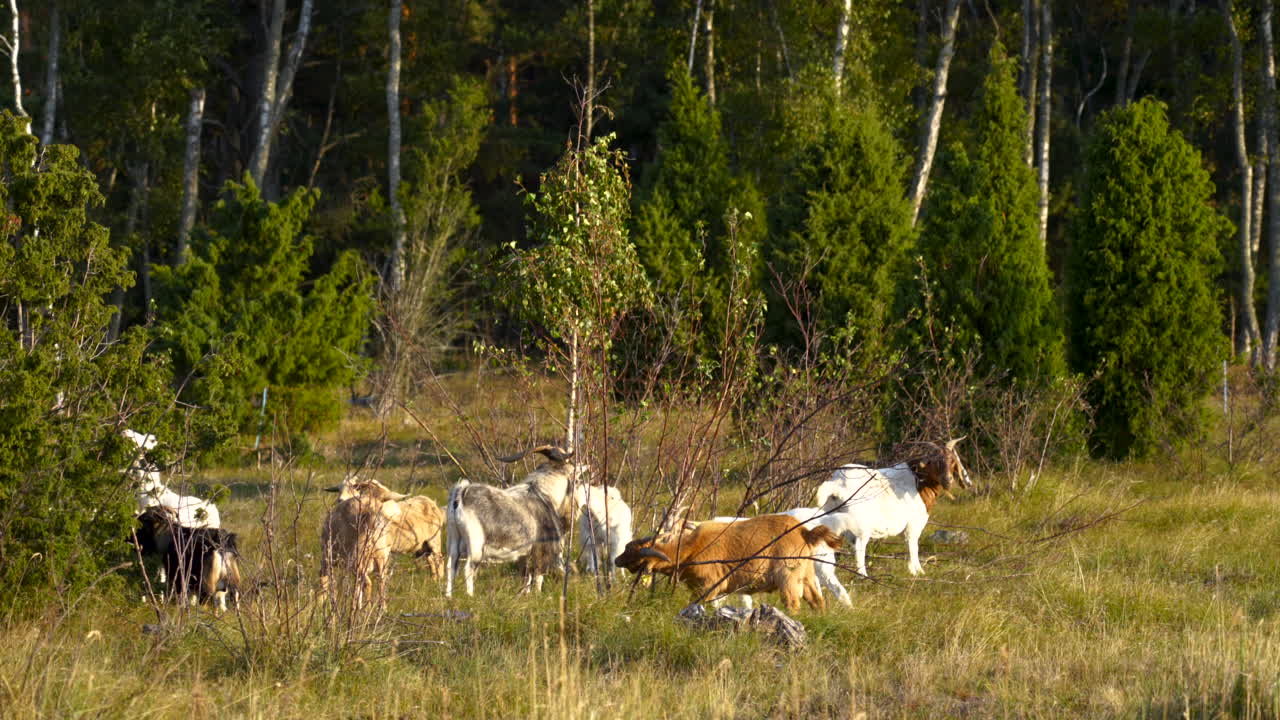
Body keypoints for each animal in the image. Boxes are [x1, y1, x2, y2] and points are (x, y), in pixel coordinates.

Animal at [444, 445, 580, 598]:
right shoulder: (541, 550)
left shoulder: (524, 555)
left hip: (453, 538)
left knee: (451, 566)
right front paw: (537, 595)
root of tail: (462, 492)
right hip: (476, 543)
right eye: (576, 479)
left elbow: (526, 577)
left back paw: (448, 596)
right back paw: (470, 596)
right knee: (468, 568)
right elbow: (538, 577)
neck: (543, 494)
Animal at [615, 514, 841, 612]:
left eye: (631, 553)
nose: (616, 560)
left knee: (793, 603)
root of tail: (805, 532)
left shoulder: (708, 586)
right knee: (817, 600)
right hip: (807, 574)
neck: (691, 548)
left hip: (788, 576)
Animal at [814, 438, 971, 577]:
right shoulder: (913, 525)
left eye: (952, 461)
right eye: (935, 462)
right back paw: (863, 575)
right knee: (859, 547)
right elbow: (913, 546)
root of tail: (837, 485)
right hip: (860, 525)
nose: (948, 480)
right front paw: (917, 571)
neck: (919, 482)